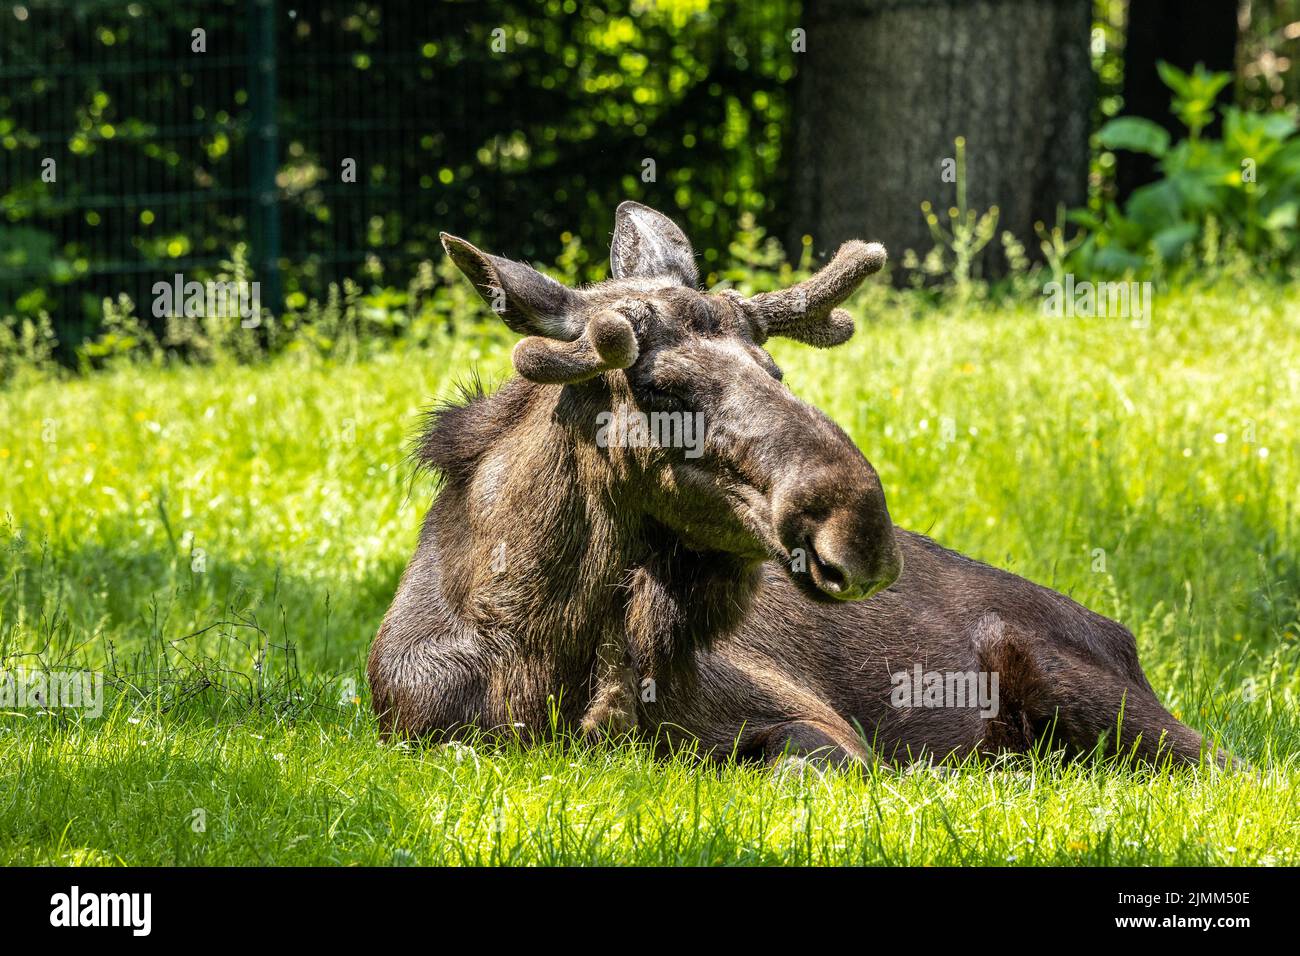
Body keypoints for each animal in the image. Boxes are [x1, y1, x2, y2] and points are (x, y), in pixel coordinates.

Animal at [367, 200, 1224, 771]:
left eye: (773, 369)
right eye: (662, 390)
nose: (859, 526)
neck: (540, 658)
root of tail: (1124, 635)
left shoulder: (822, 732)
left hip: (1114, 707)